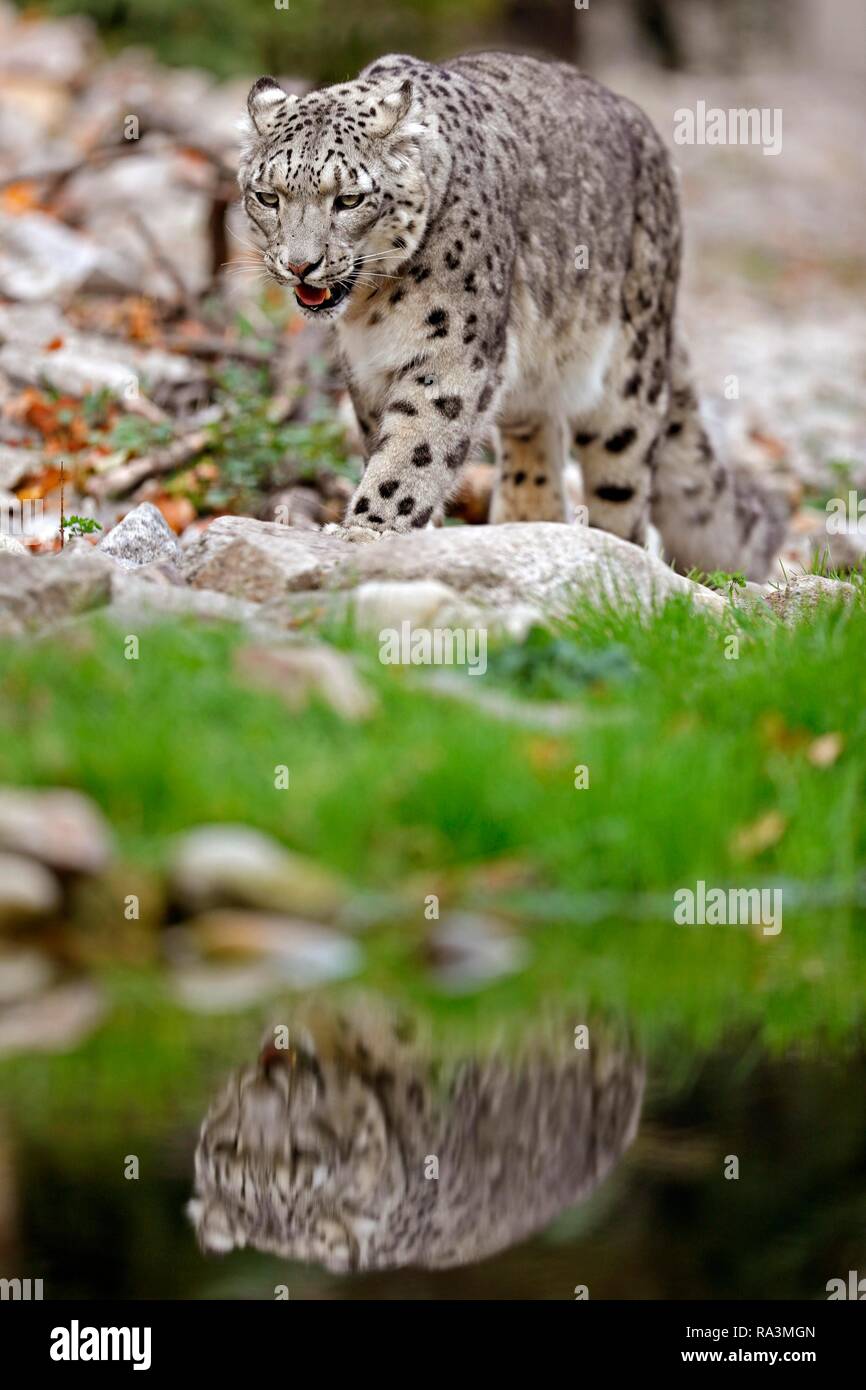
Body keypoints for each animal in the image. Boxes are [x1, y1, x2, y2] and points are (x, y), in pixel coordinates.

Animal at [238, 51, 789, 579]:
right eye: (267, 196)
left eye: (349, 199)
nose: (300, 264)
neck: (374, 308)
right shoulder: (368, 369)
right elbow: (386, 440)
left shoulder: (450, 352)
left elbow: (415, 446)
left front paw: (369, 530)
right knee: (536, 439)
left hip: (629, 376)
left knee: (625, 485)